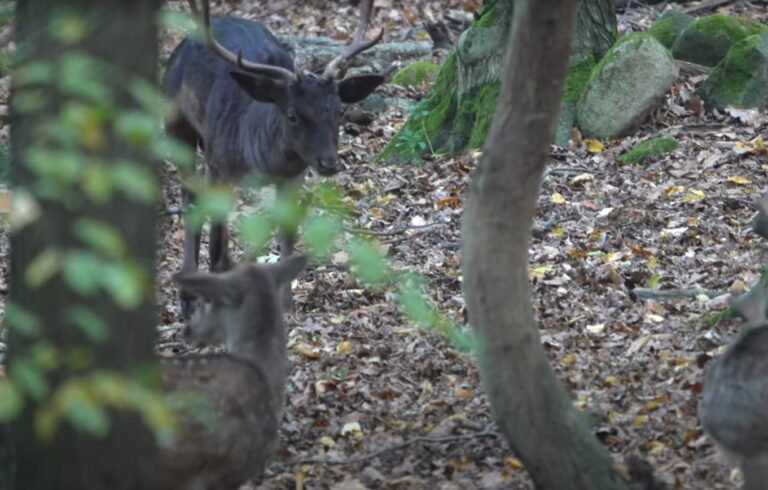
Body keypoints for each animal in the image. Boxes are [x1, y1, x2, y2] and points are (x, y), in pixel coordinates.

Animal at [164, 0, 385, 317]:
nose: (329, 163)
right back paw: (187, 296)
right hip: (176, 123)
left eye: (339, 111)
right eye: (292, 115)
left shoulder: (293, 176)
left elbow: (287, 234)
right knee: (189, 201)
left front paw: (284, 304)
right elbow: (217, 238)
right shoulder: (218, 164)